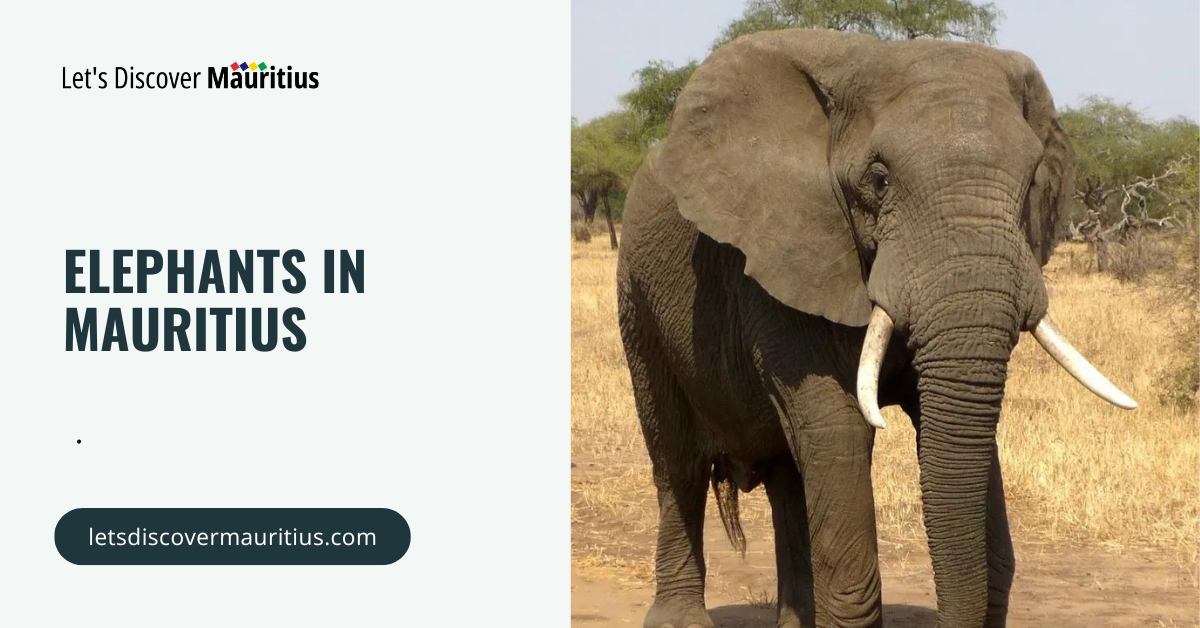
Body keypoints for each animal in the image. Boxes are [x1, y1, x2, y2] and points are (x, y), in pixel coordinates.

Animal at [615, 29, 1136, 628]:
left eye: (1032, 182)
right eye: (880, 180)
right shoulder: (783, 254)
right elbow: (839, 427)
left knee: (788, 475)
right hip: (637, 298)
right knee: (676, 459)